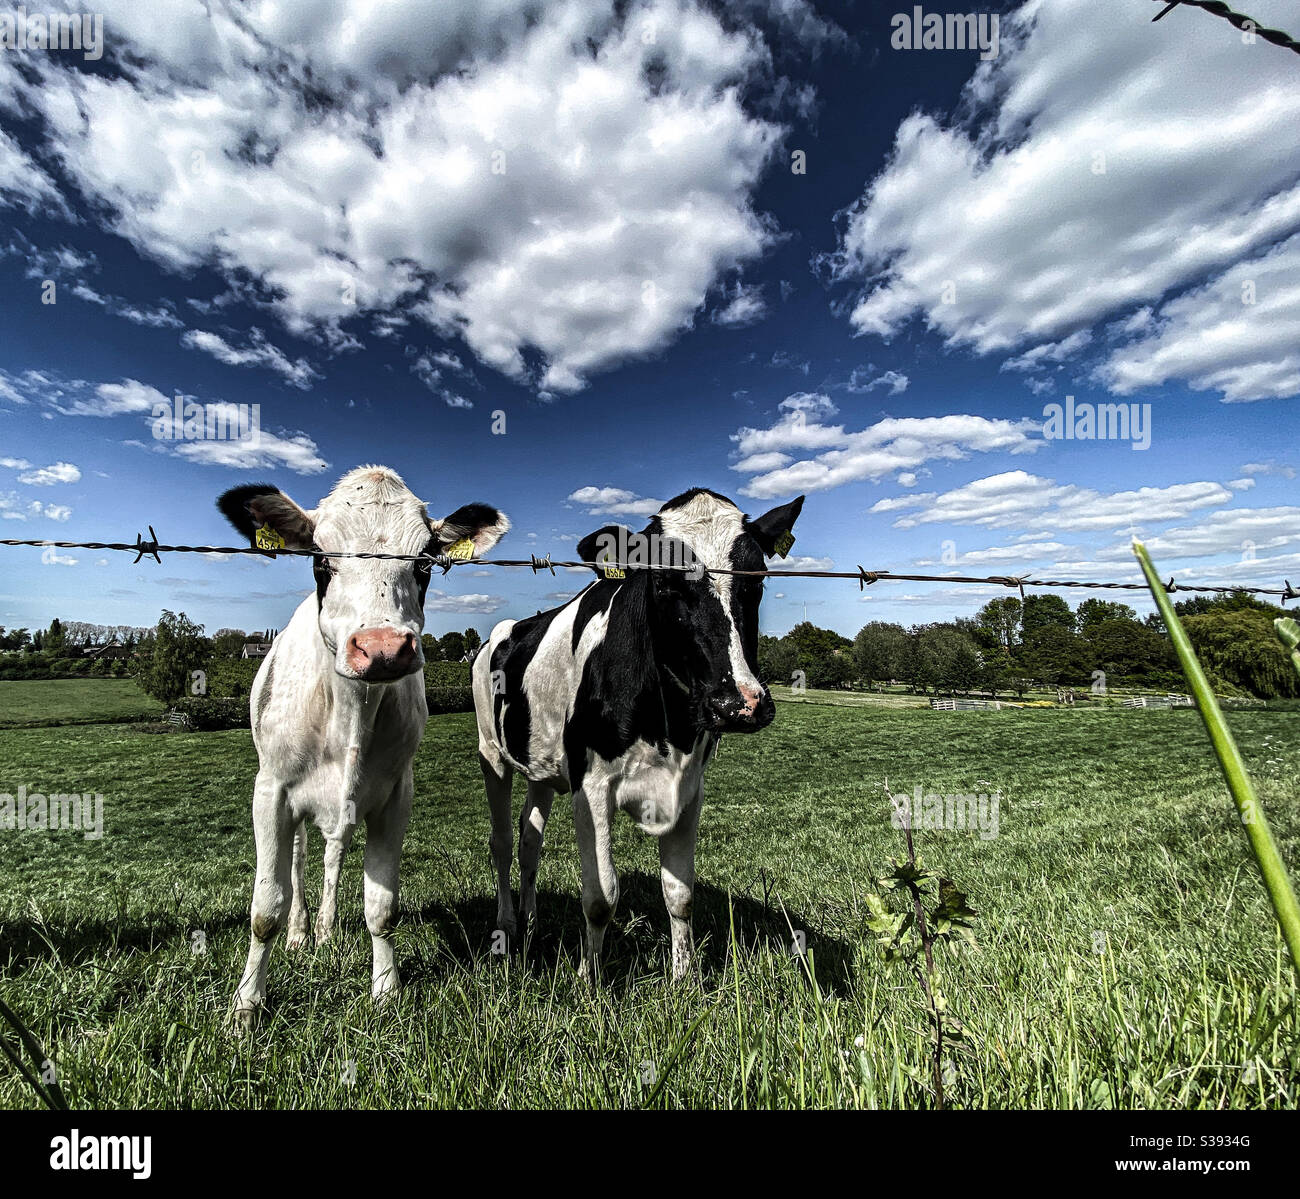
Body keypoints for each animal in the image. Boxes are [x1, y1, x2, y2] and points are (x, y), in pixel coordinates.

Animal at [216, 466, 508, 1024]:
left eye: (425, 563)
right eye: (321, 559)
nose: (382, 649)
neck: (351, 711)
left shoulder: (396, 795)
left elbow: (382, 906)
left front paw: (386, 990)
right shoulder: (270, 792)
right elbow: (265, 907)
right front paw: (246, 1004)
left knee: (332, 857)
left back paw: (326, 930)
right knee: (299, 863)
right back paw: (301, 933)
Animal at [472, 487, 803, 980]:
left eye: (758, 578)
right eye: (663, 583)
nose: (738, 704)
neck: (668, 727)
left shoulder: (690, 788)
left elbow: (680, 894)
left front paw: (685, 979)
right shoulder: (591, 786)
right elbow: (600, 897)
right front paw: (590, 982)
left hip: (543, 768)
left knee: (530, 840)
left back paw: (531, 922)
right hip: (491, 753)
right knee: (502, 843)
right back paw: (508, 925)